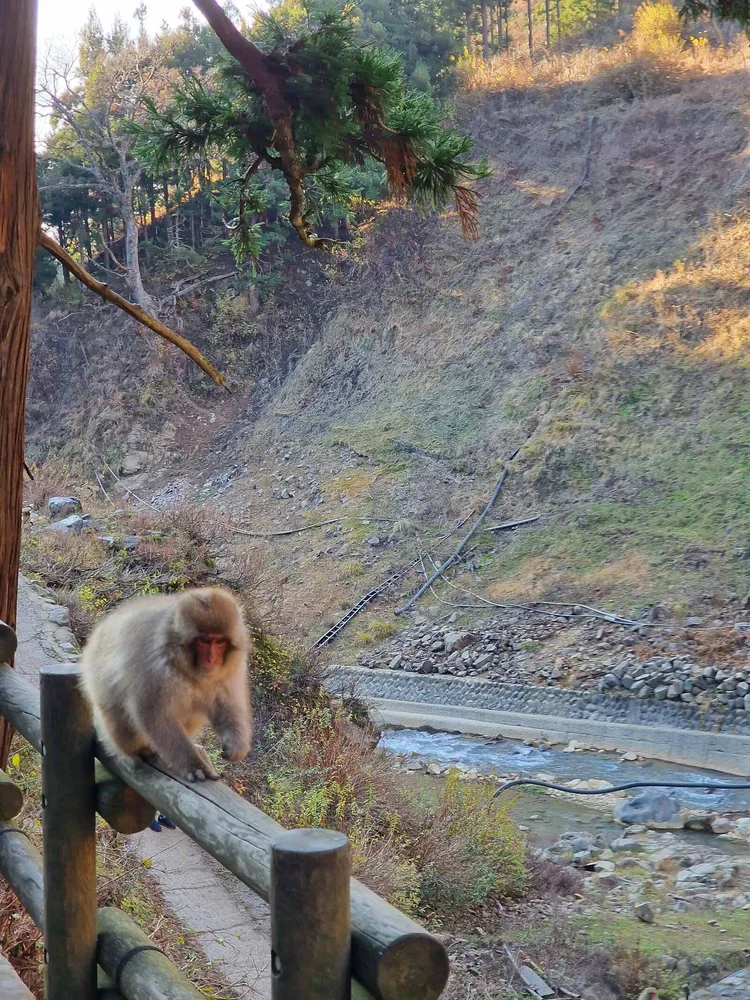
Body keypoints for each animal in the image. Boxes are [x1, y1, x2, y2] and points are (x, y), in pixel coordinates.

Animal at [80, 587, 252, 782]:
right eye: (204, 641)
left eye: (219, 642)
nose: (211, 660)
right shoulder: (153, 666)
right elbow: (153, 713)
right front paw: (192, 764)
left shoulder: (230, 670)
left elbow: (227, 704)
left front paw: (237, 745)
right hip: (97, 679)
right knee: (118, 713)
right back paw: (132, 752)